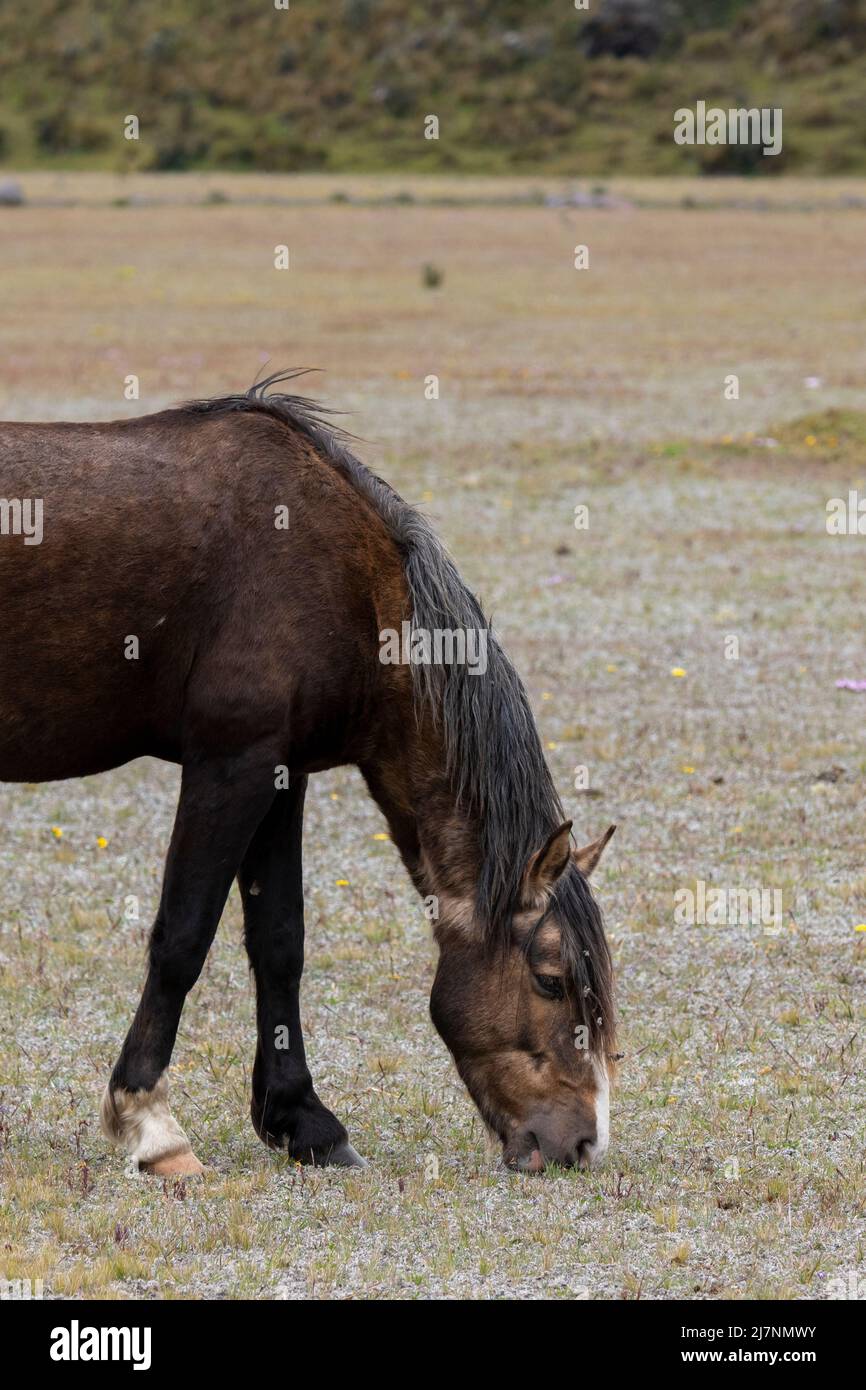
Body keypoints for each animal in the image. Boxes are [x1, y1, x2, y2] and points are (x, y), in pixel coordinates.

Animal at [0, 373, 617, 1176]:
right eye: (551, 980)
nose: (581, 1143)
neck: (344, 576)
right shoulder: (231, 766)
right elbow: (182, 939)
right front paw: (151, 1124)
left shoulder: (280, 774)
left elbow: (279, 944)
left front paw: (303, 1120)